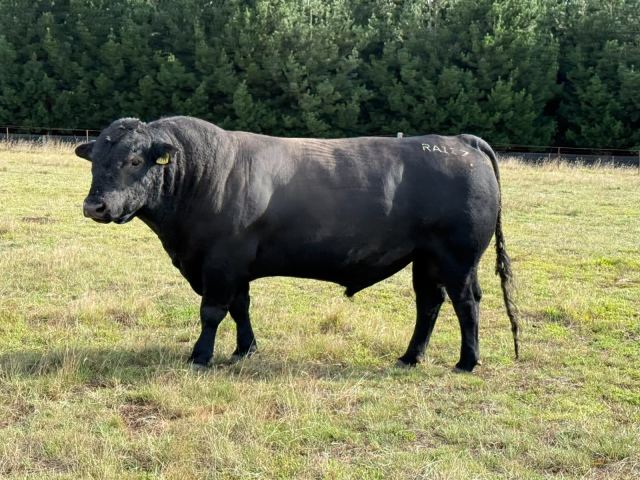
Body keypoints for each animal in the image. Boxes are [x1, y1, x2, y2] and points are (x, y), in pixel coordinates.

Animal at [75, 116, 519, 372]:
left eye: (135, 160)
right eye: (95, 159)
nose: (94, 206)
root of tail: (460, 141)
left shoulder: (220, 262)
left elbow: (212, 311)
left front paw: (201, 356)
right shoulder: (236, 266)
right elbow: (240, 307)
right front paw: (245, 350)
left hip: (457, 259)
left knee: (466, 303)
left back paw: (467, 362)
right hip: (425, 260)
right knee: (429, 303)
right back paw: (411, 357)